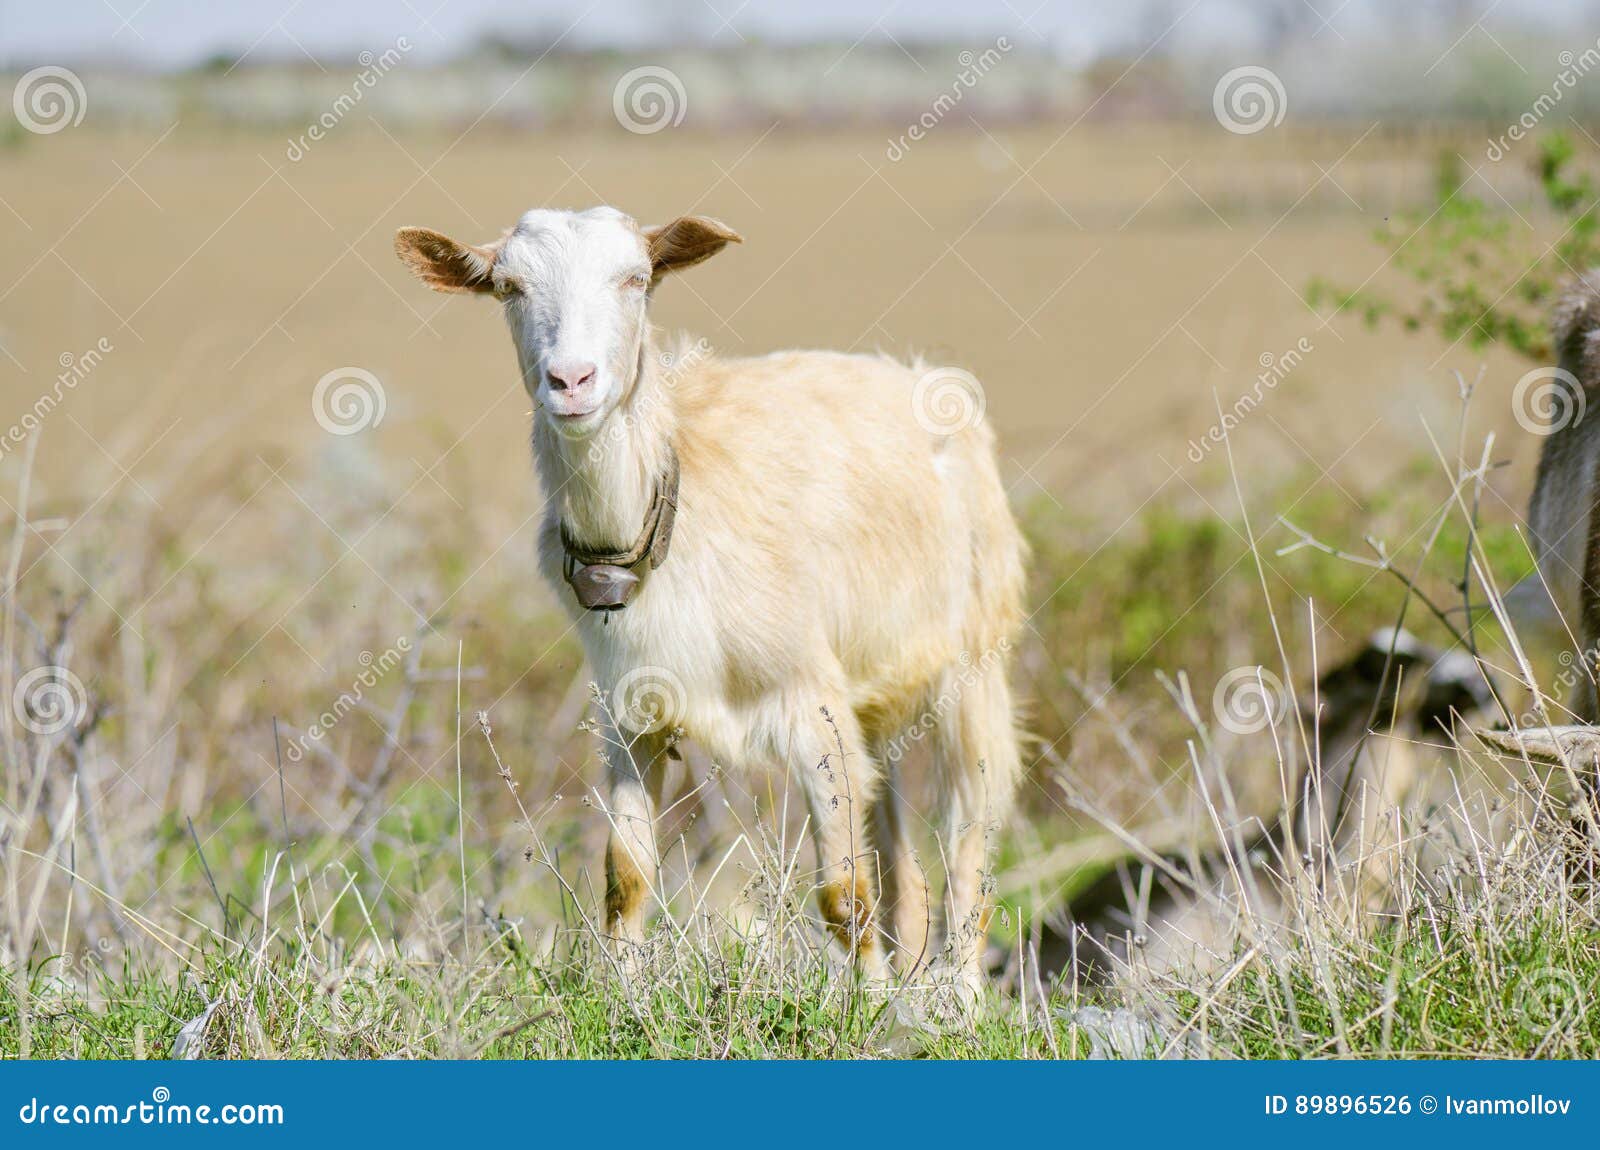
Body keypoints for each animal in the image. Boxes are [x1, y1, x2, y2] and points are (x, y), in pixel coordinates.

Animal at [395, 207, 1026, 985]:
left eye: (636, 279)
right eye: (509, 286)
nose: (571, 380)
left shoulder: (812, 703)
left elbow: (843, 893)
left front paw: (871, 1005)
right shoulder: (628, 711)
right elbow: (626, 873)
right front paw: (621, 991)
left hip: (976, 660)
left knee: (970, 845)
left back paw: (959, 996)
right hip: (878, 697)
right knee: (906, 873)